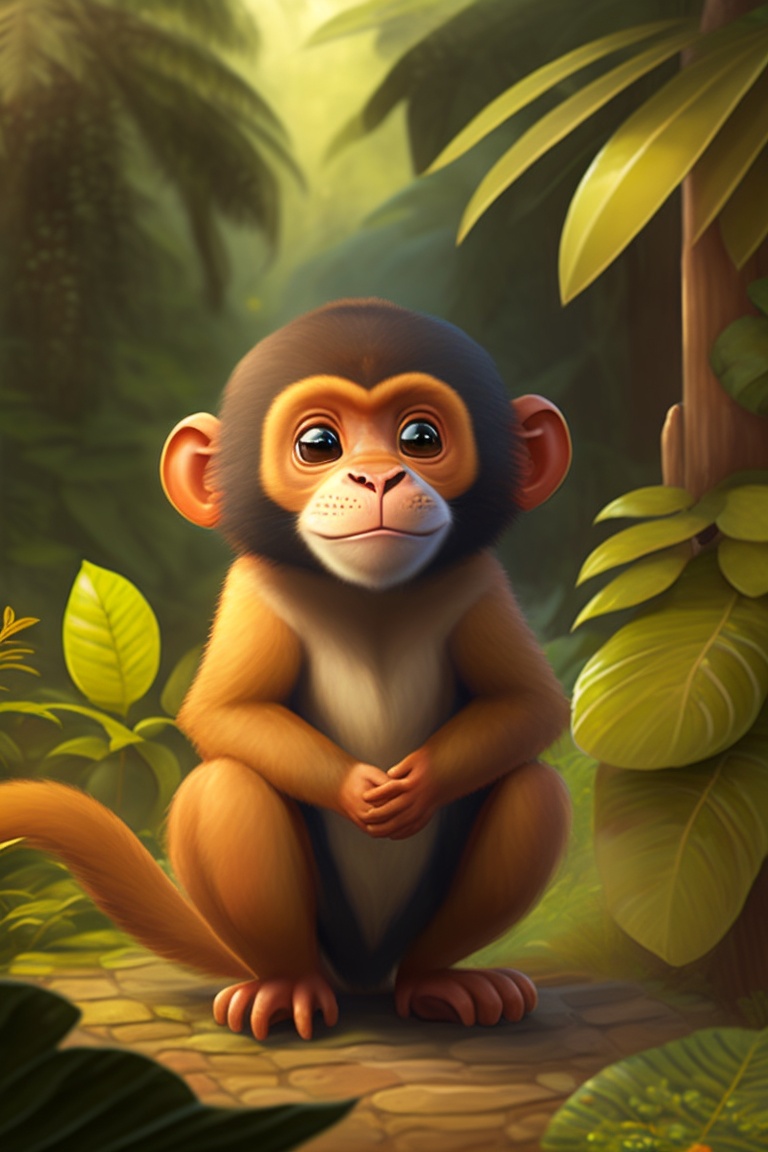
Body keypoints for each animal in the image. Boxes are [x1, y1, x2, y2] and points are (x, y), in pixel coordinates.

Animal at [0, 299, 572, 1042]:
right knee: (224, 790)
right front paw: (361, 790)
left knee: (535, 792)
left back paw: (439, 981)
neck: (370, 599)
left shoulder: (480, 580)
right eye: (319, 444)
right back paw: (283, 985)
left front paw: (412, 787)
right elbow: (225, 714)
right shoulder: (253, 586)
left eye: (419, 437)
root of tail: (364, 979)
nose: (377, 476)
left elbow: (529, 704)